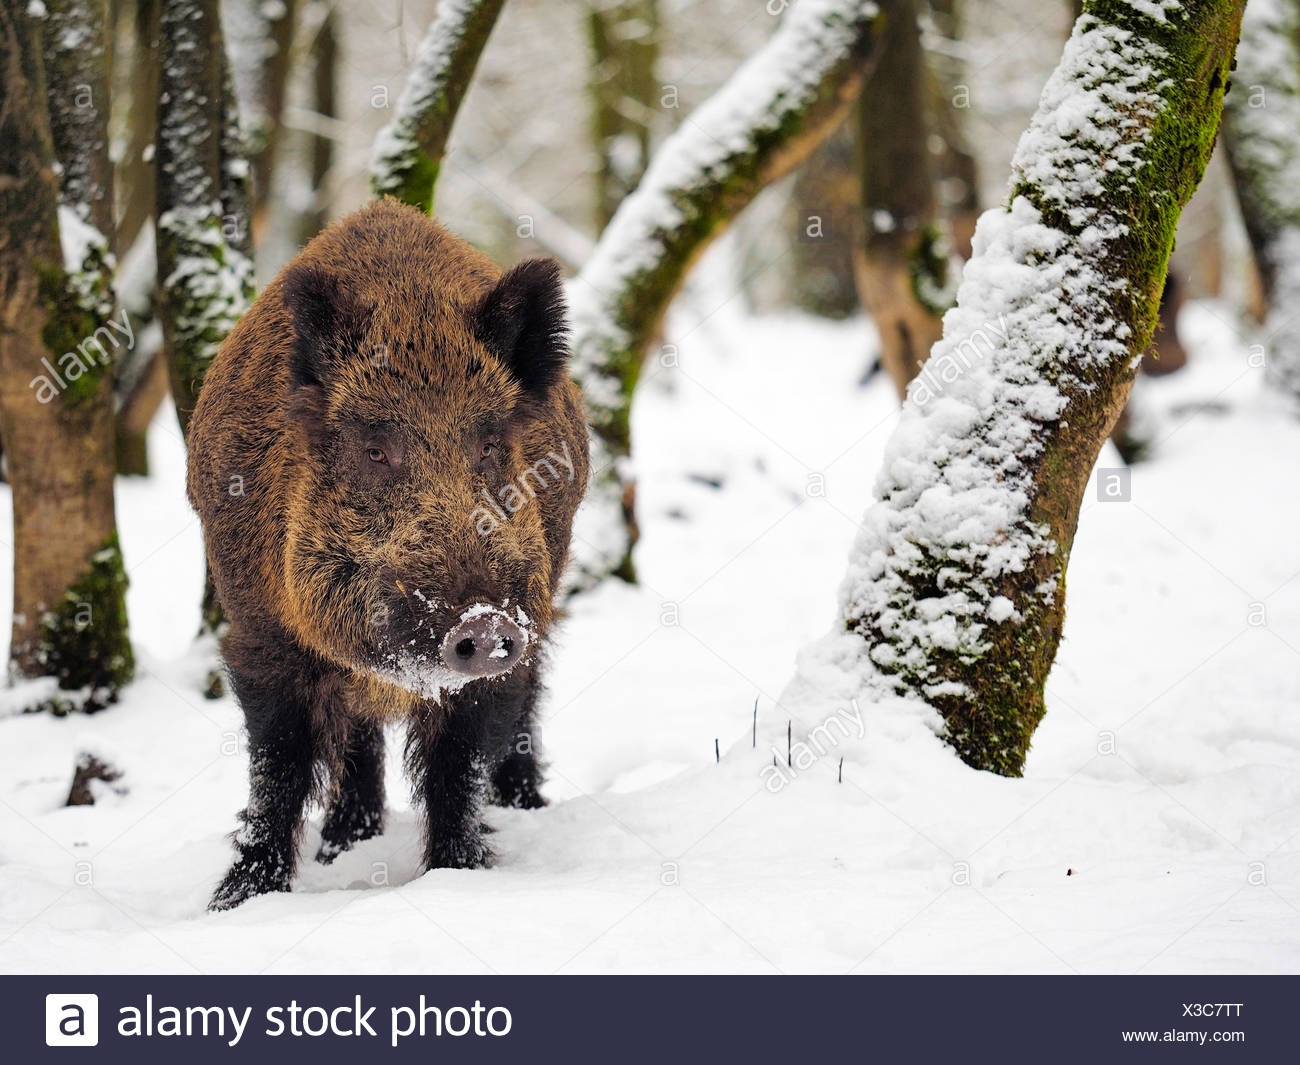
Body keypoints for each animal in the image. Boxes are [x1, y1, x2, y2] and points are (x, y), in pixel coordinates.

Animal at [187, 199, 588, 910]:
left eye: (490, 445)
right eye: (375, 451)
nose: (484, 621)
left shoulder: (510, 637)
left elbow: (458, 768)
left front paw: (459, 875)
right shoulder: (260, 635)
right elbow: (279, 767)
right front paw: (236, 902)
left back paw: (527, 808)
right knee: (356, 732)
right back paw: (345, 843)